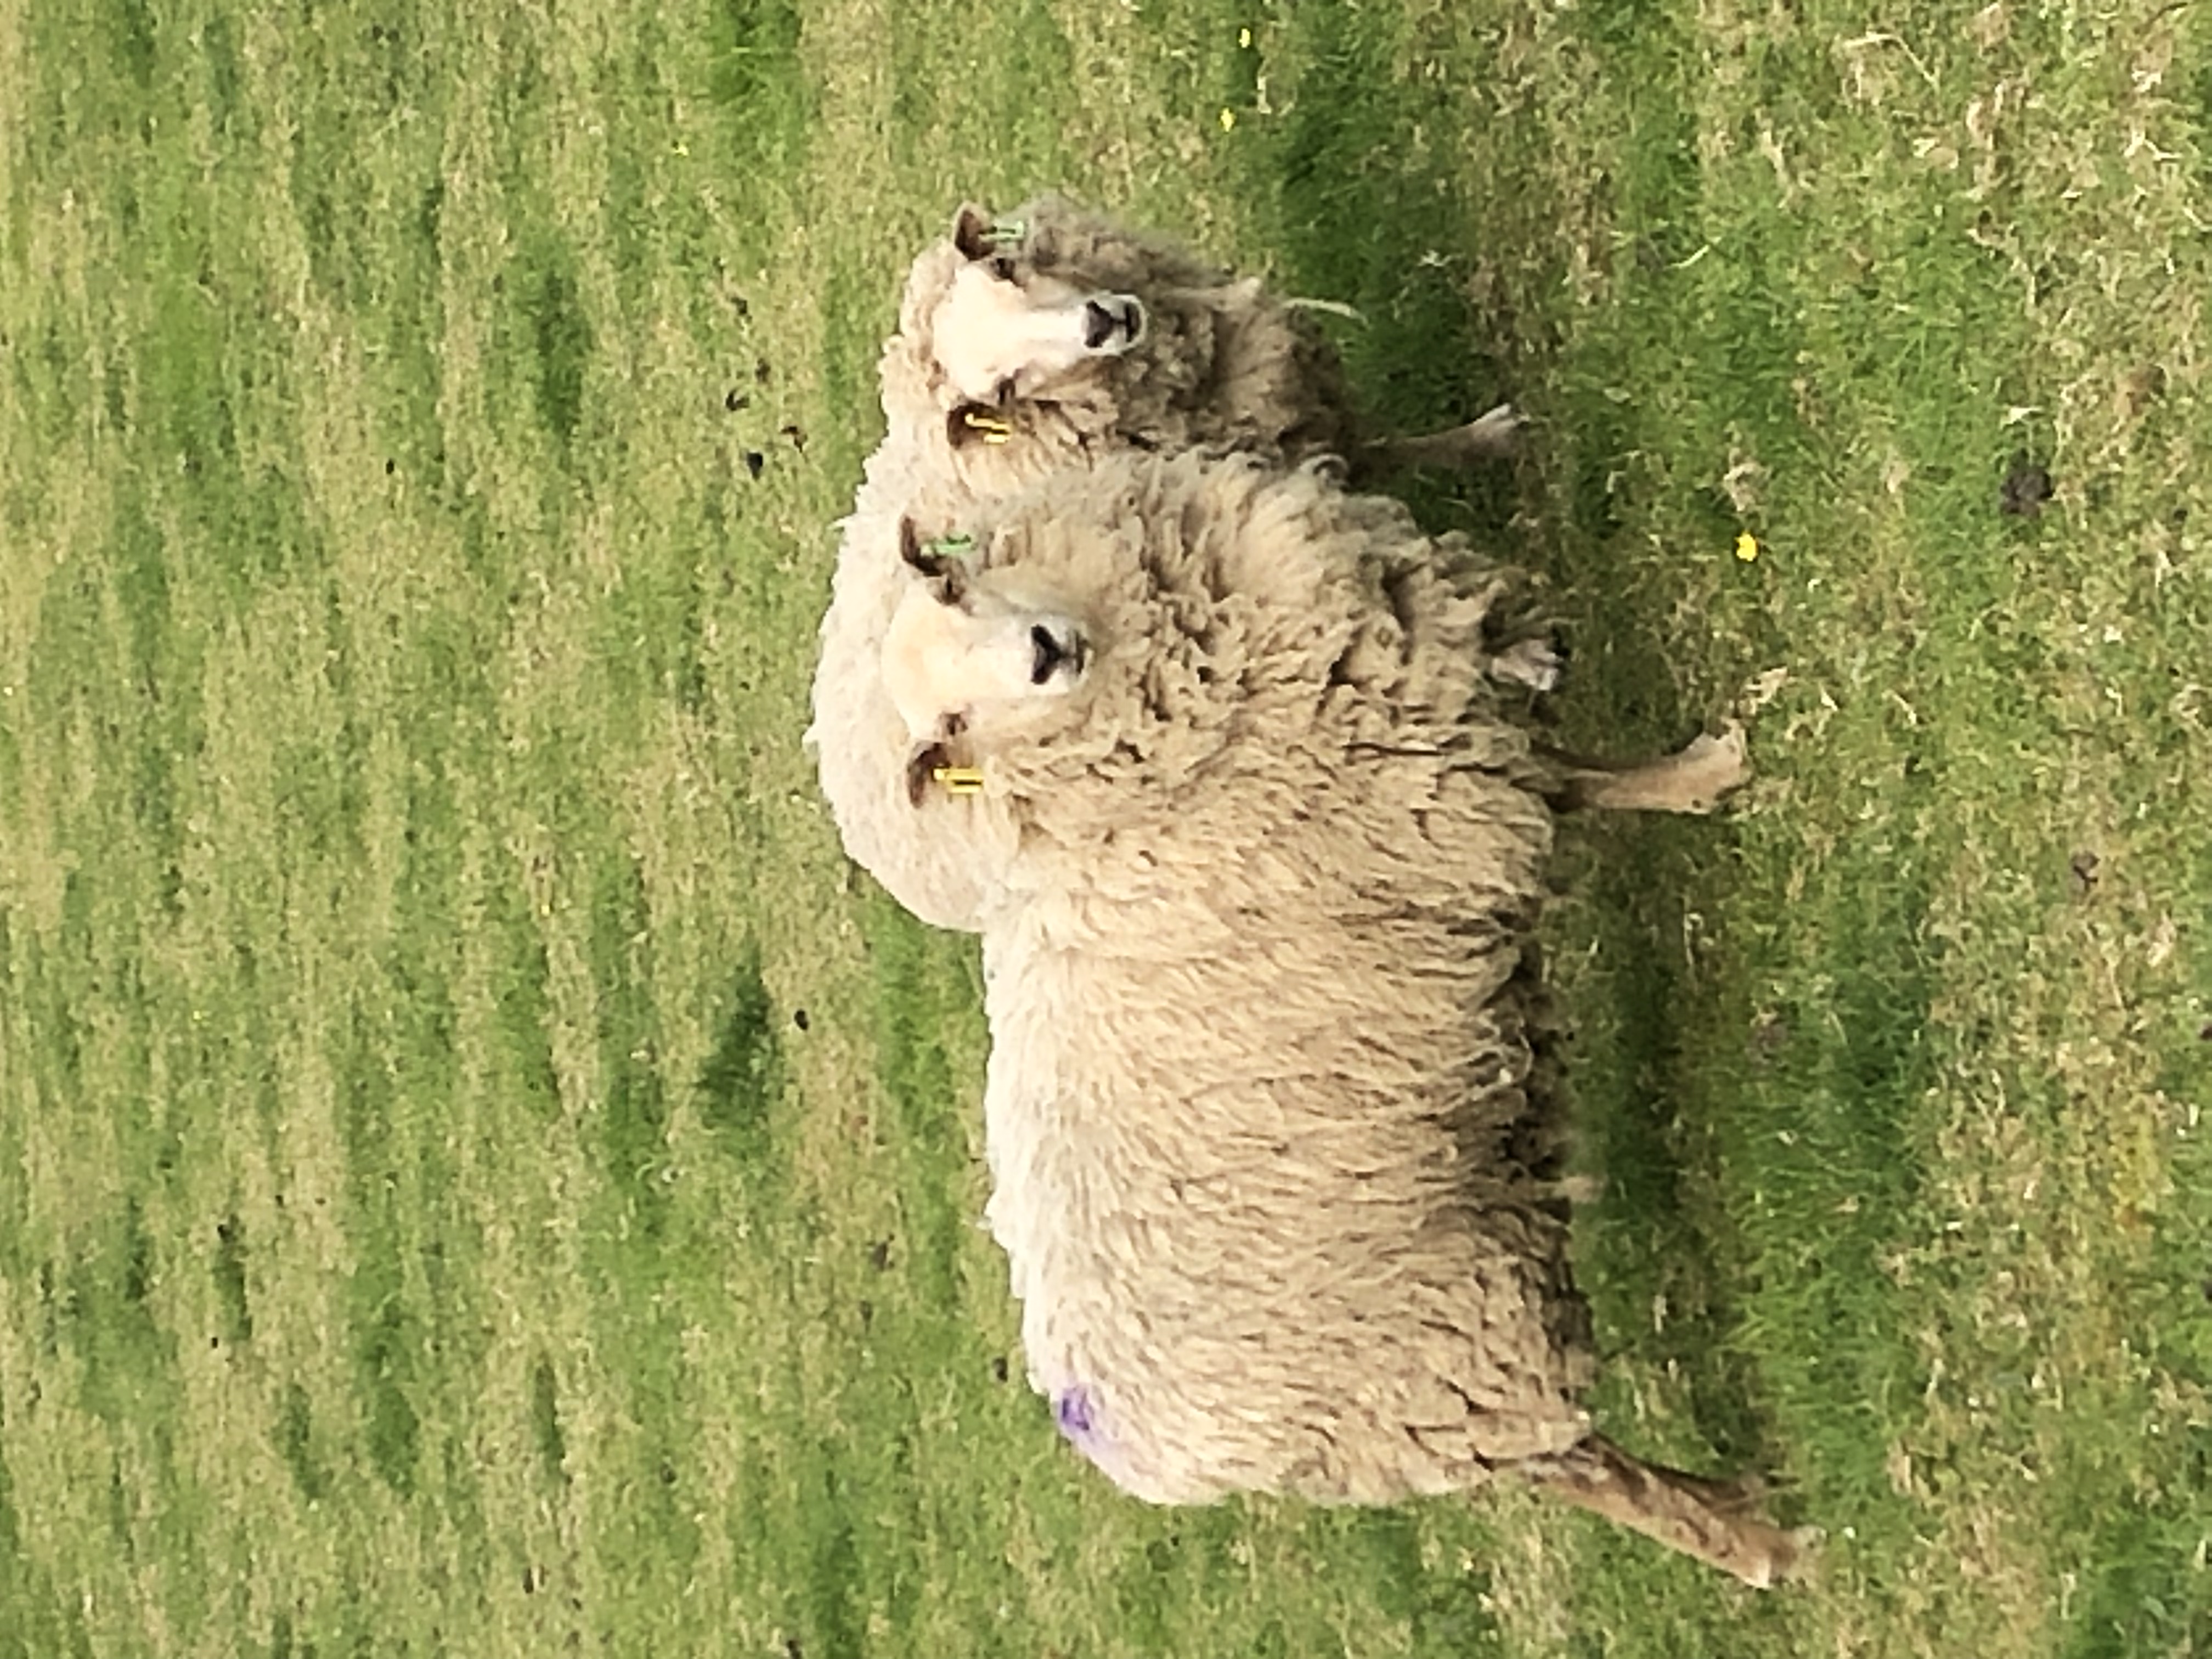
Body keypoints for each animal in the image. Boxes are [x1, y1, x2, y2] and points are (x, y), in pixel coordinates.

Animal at [870, 448, 1809, 1587]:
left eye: (956, 586)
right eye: (949, 729)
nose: (1047, 652)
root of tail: (1113, 1431)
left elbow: (1569, 775)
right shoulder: (1425, 777)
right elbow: (1573, 783)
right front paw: (1706, 770)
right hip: (1426, 1364)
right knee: (1587, 1469)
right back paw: (1752, 1538)